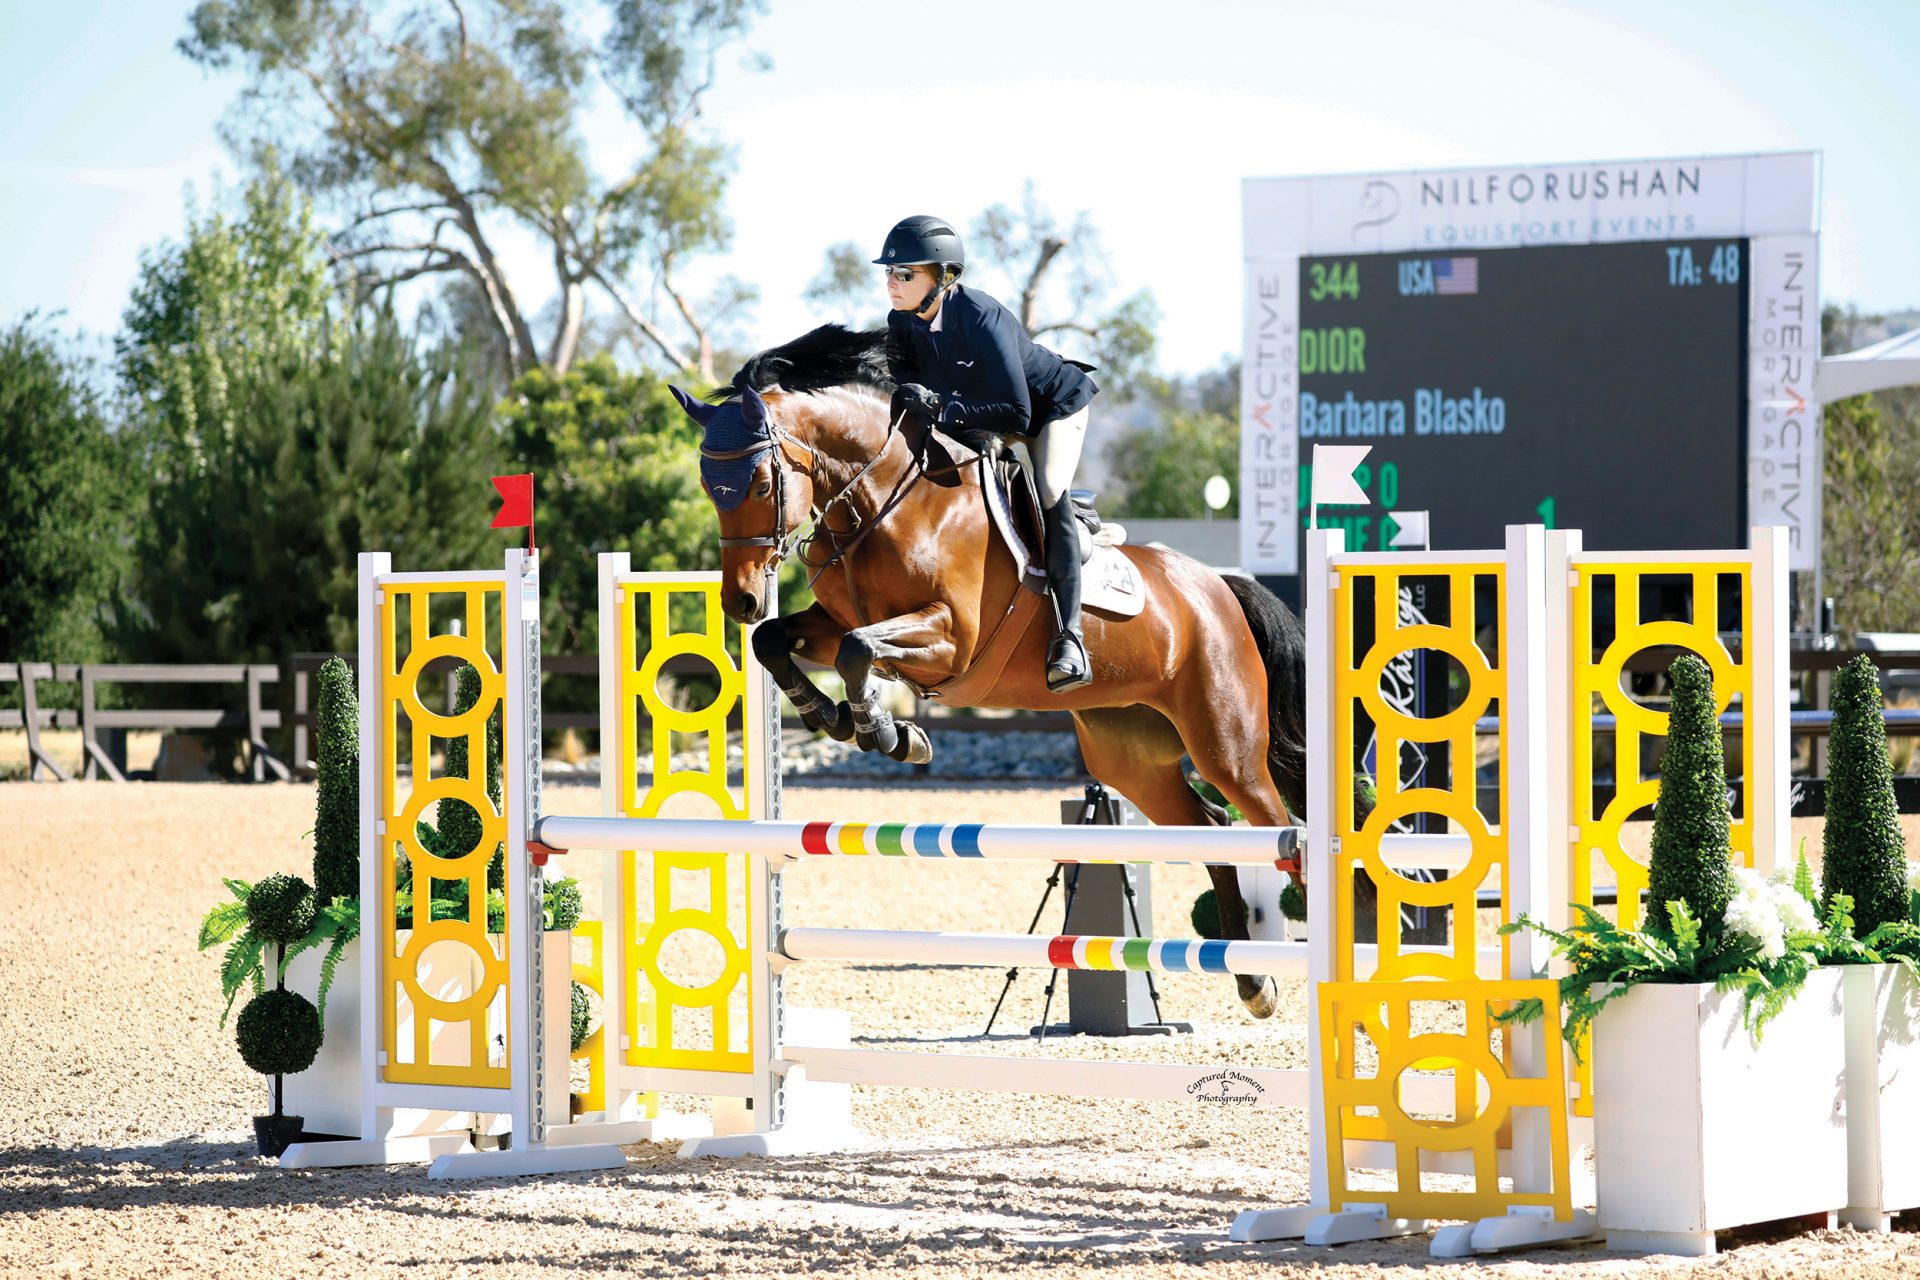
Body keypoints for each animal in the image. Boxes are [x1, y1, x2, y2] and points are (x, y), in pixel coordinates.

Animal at [668, 325, 1323, 1018]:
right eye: (710, 488)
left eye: (761, 486)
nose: (740, 601)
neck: (883, 502)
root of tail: (1220, 588)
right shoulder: (829, 618)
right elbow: (777, 641)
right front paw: (836, 717)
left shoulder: (952, 641)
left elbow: (857, 650)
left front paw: (887, 732)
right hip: (1133, 759)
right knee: (1214, 833)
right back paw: (1254, 983)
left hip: (1227, 746)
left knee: (1284, 834)